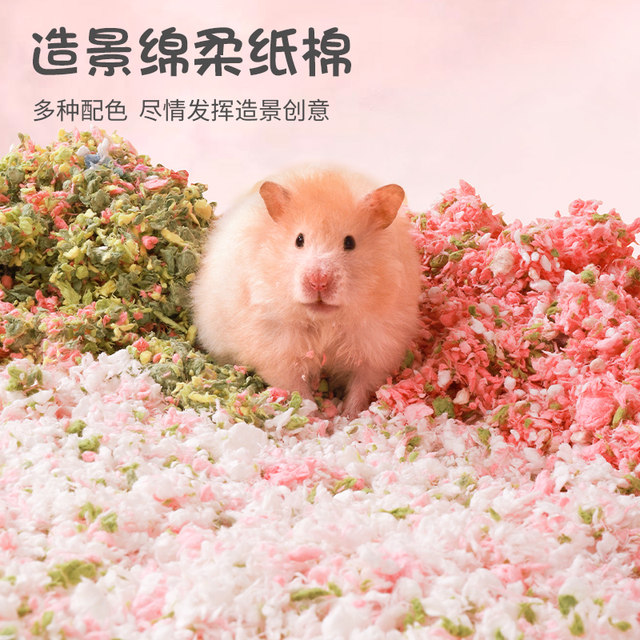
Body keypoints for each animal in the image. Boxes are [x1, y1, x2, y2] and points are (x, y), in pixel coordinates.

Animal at [191, 167, 422, 417]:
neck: (325, 322)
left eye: (350, 242)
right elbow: (298, 388)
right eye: (299, 240)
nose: (318, 282)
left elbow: (360, 387)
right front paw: (314, 417)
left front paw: (349, 416)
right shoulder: (278, 350)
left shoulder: (376, 349)